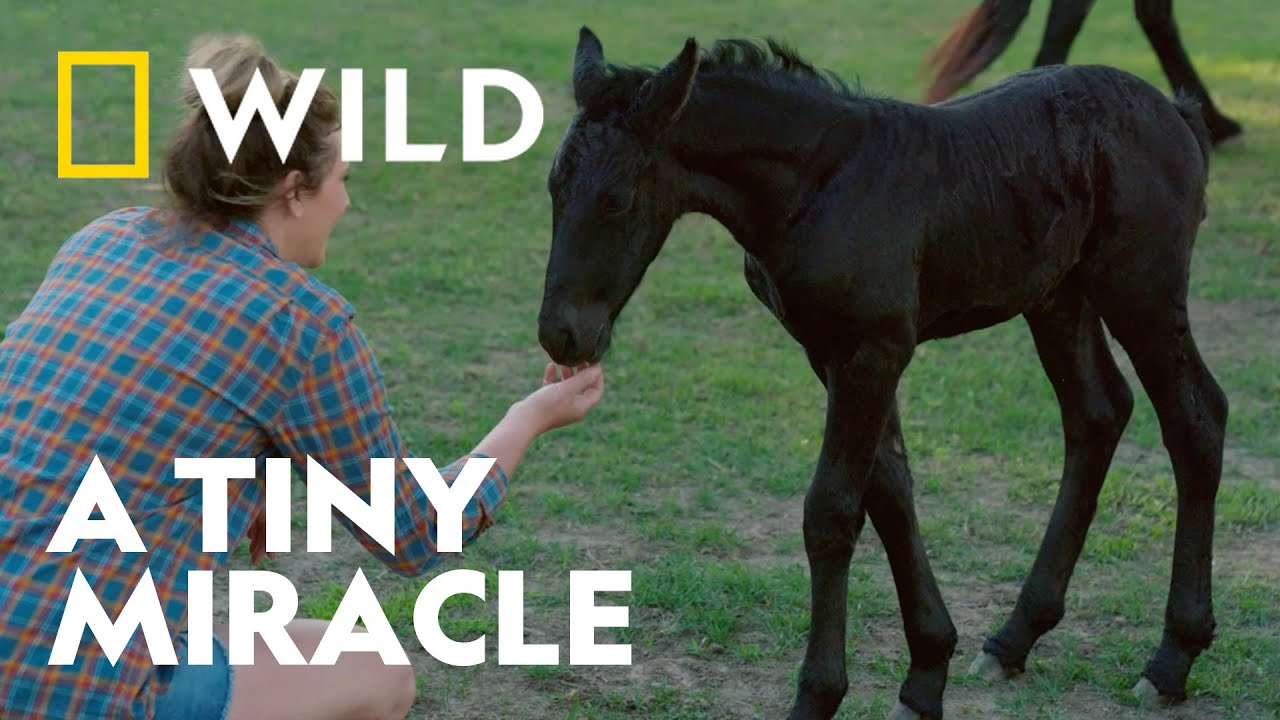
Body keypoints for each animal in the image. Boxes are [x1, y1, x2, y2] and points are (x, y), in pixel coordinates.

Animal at [537, 27, 1227, 720]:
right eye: (552, 188)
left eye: (617, 199)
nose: (560, 334)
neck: (818, 183)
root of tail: (1176, 114)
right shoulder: (830, 351)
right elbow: (890, 488)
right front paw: (925, 674)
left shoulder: (874, 350)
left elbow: (832, 509)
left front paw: (818, 695)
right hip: (1058, 296)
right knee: (1097, 413)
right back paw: (1014, 637)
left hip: (1142, 290)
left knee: (1197, 416)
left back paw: (1172, 656)